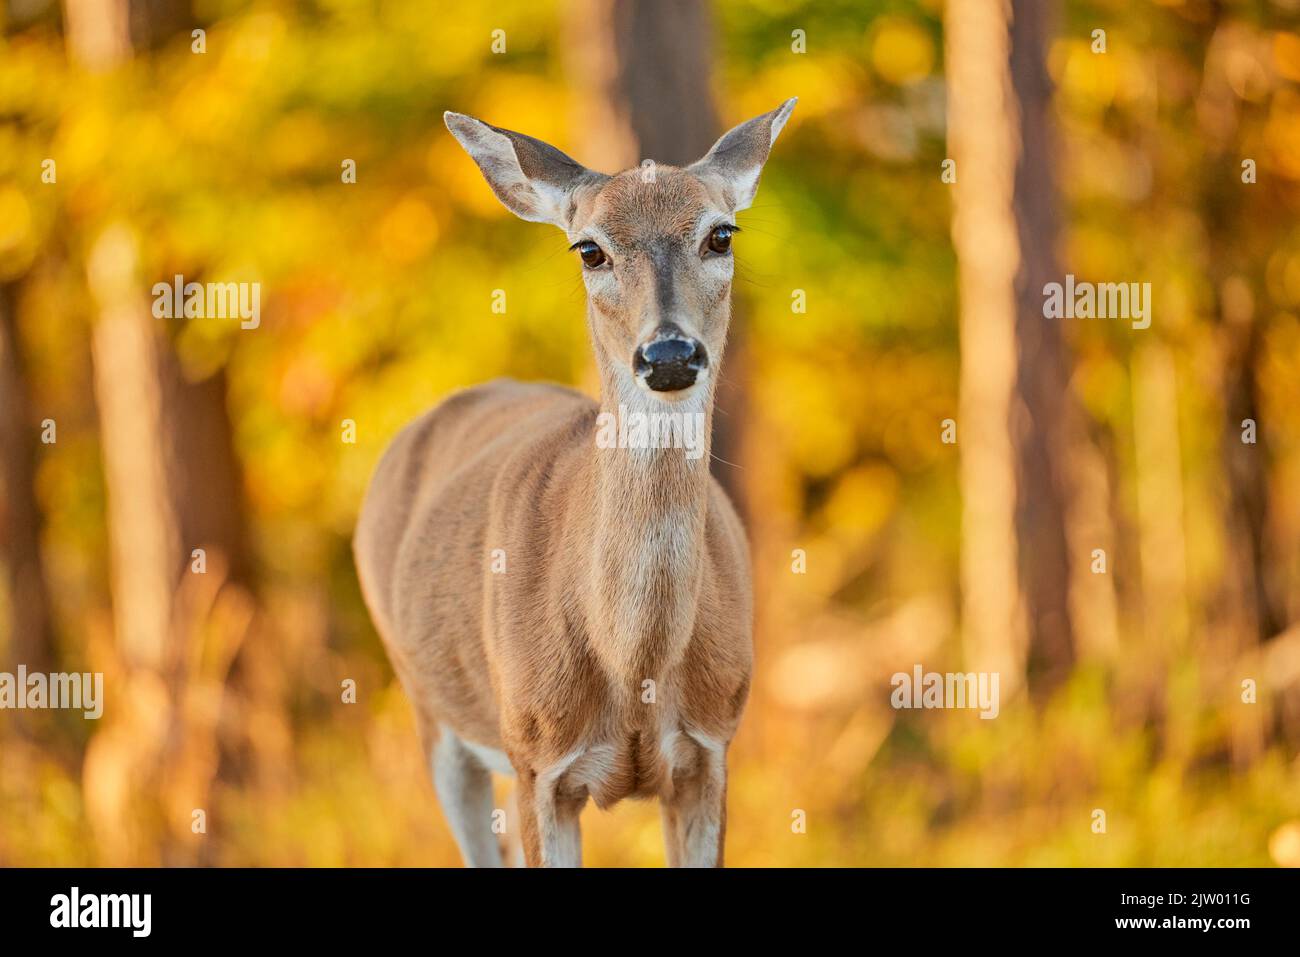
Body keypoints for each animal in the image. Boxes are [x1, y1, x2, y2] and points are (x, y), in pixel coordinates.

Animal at [353, 97, 796, 867]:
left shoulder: (712, 751)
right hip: (432, 710)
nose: (669, 353)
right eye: (588, 249)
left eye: (721, 234)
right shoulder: (539, 763)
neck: (633, 665)